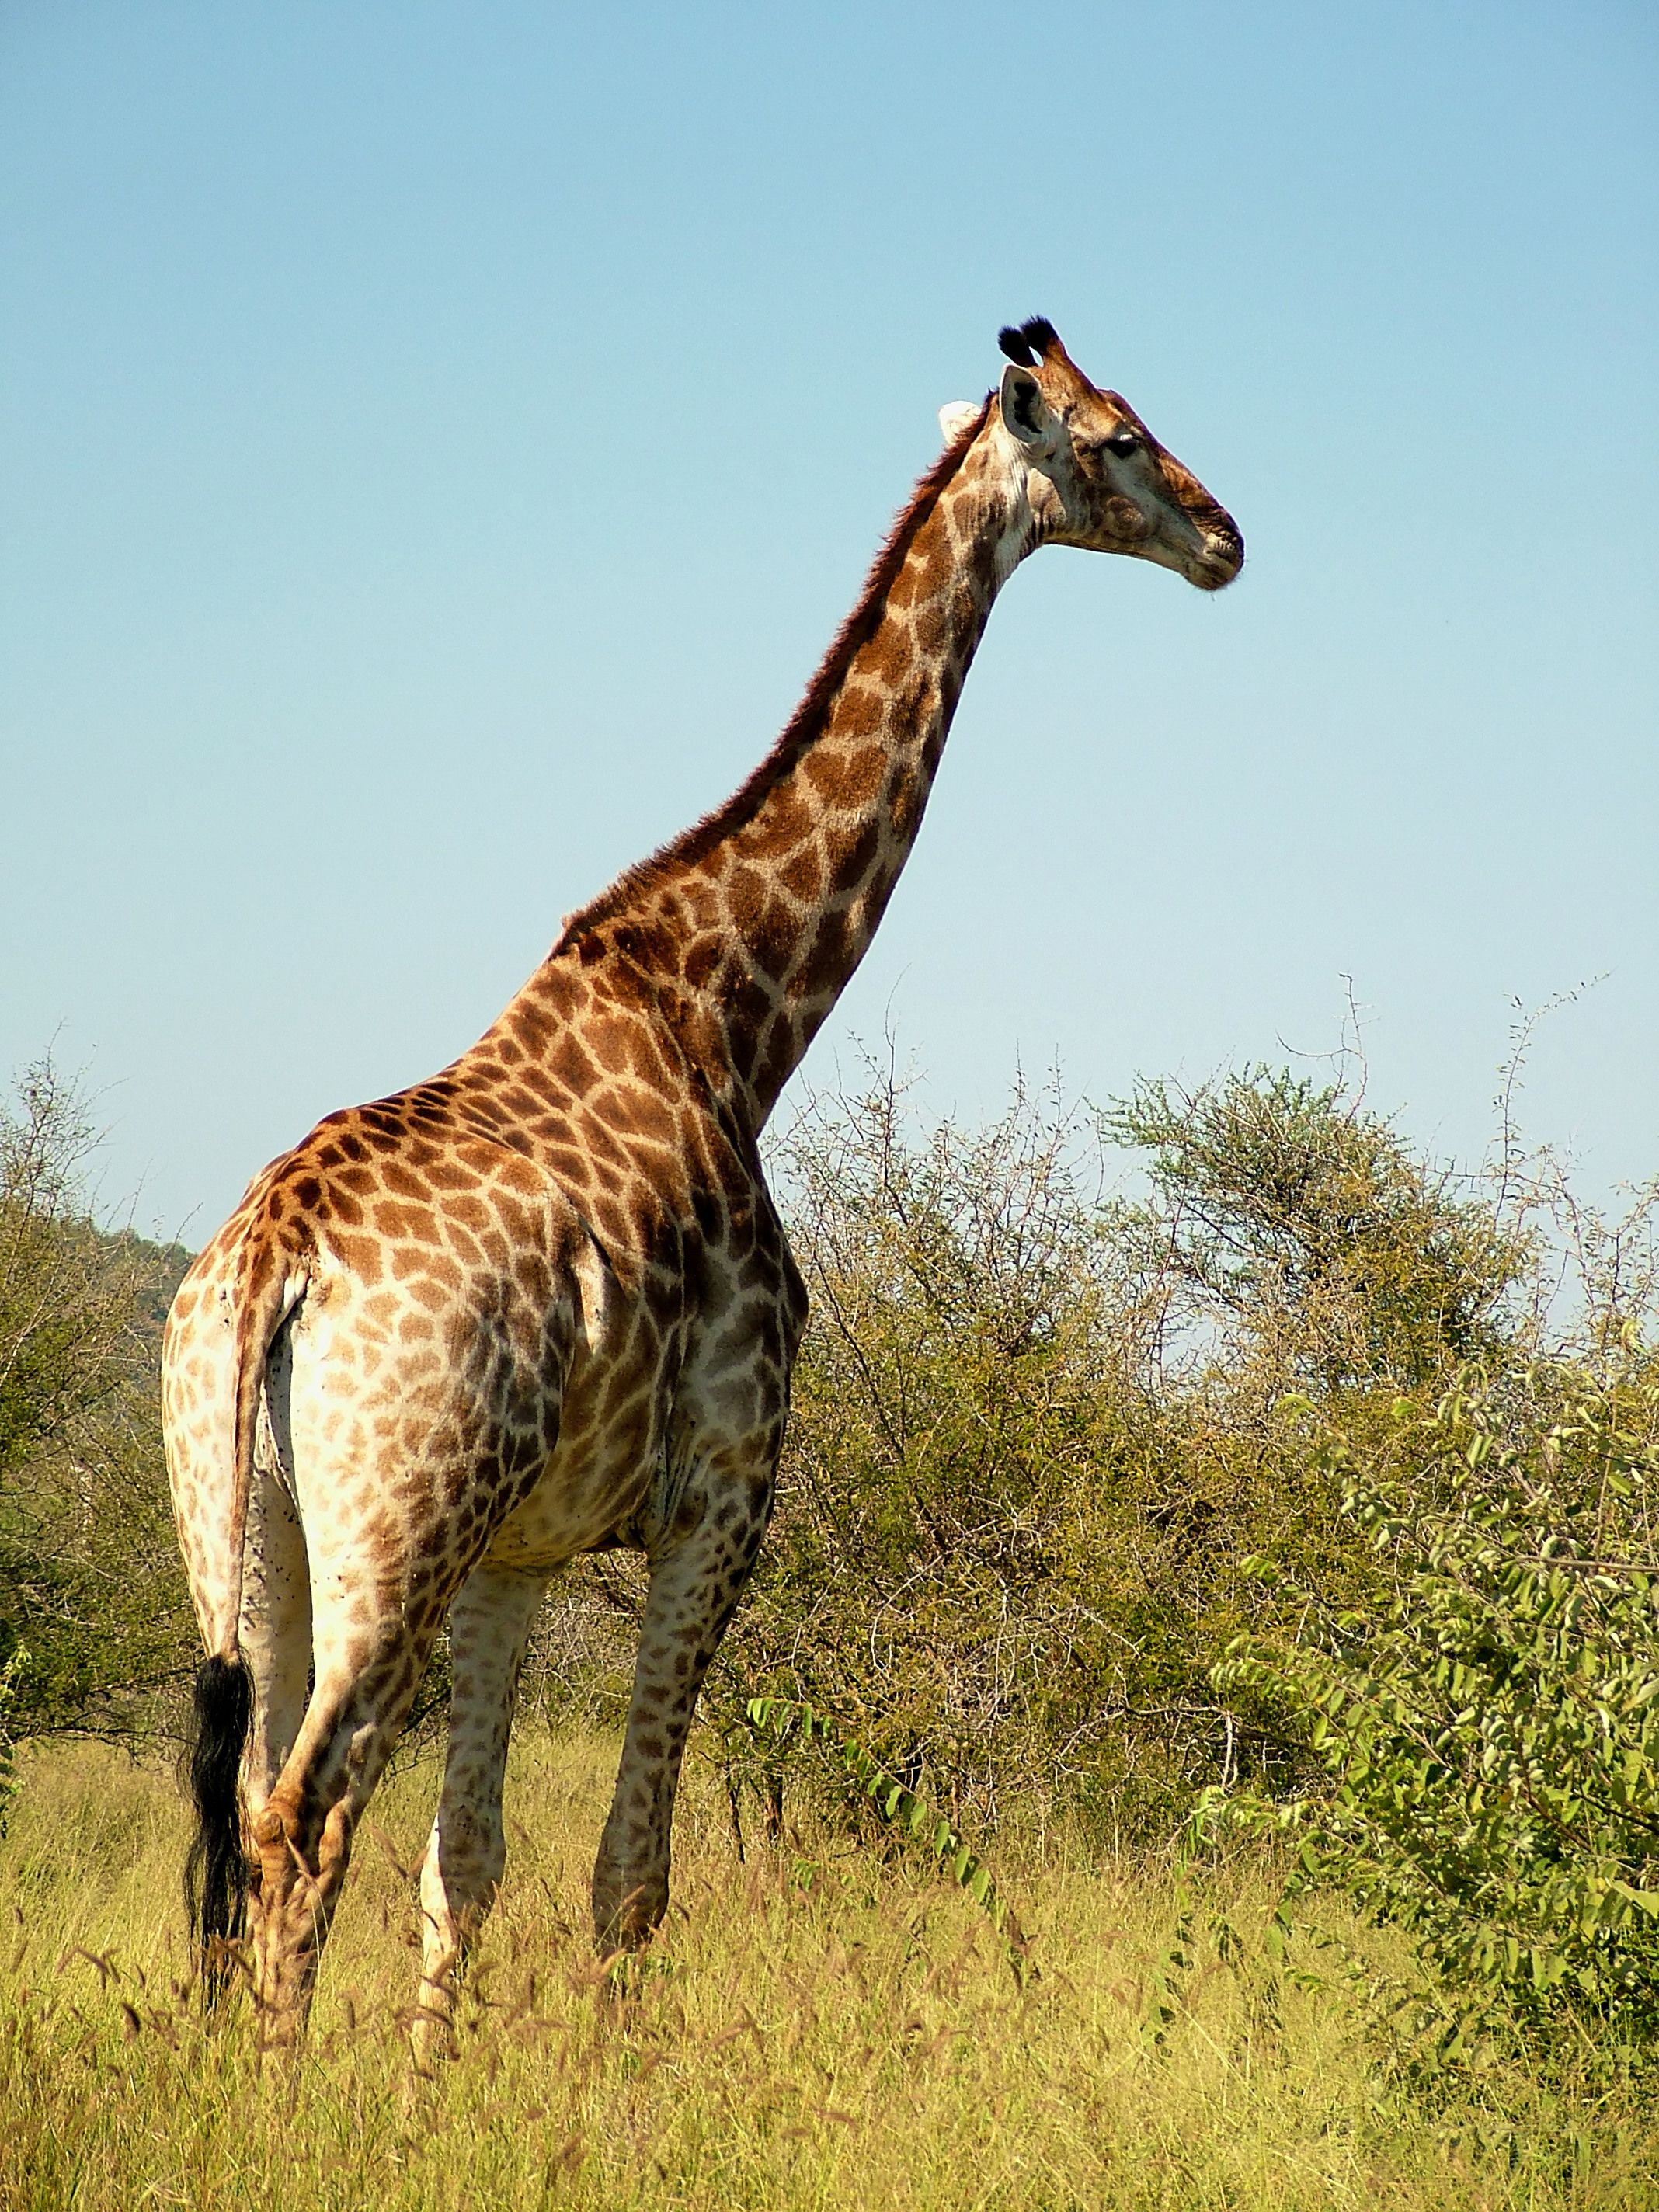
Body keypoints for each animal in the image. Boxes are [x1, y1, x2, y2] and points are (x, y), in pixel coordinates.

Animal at [162, 317, 1242, 2041]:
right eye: (1121, 438)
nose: (1225, 537)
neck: (734, 1018)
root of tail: (271, 1263)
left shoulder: (524, 1549)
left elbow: (469, 1865)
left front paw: (424, 2091)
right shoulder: (725, 1496)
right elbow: (630, 1876)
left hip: (241, 1526)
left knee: (235, 1813)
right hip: (396, 1534)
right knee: (305, 1811)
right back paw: (274, 2091)